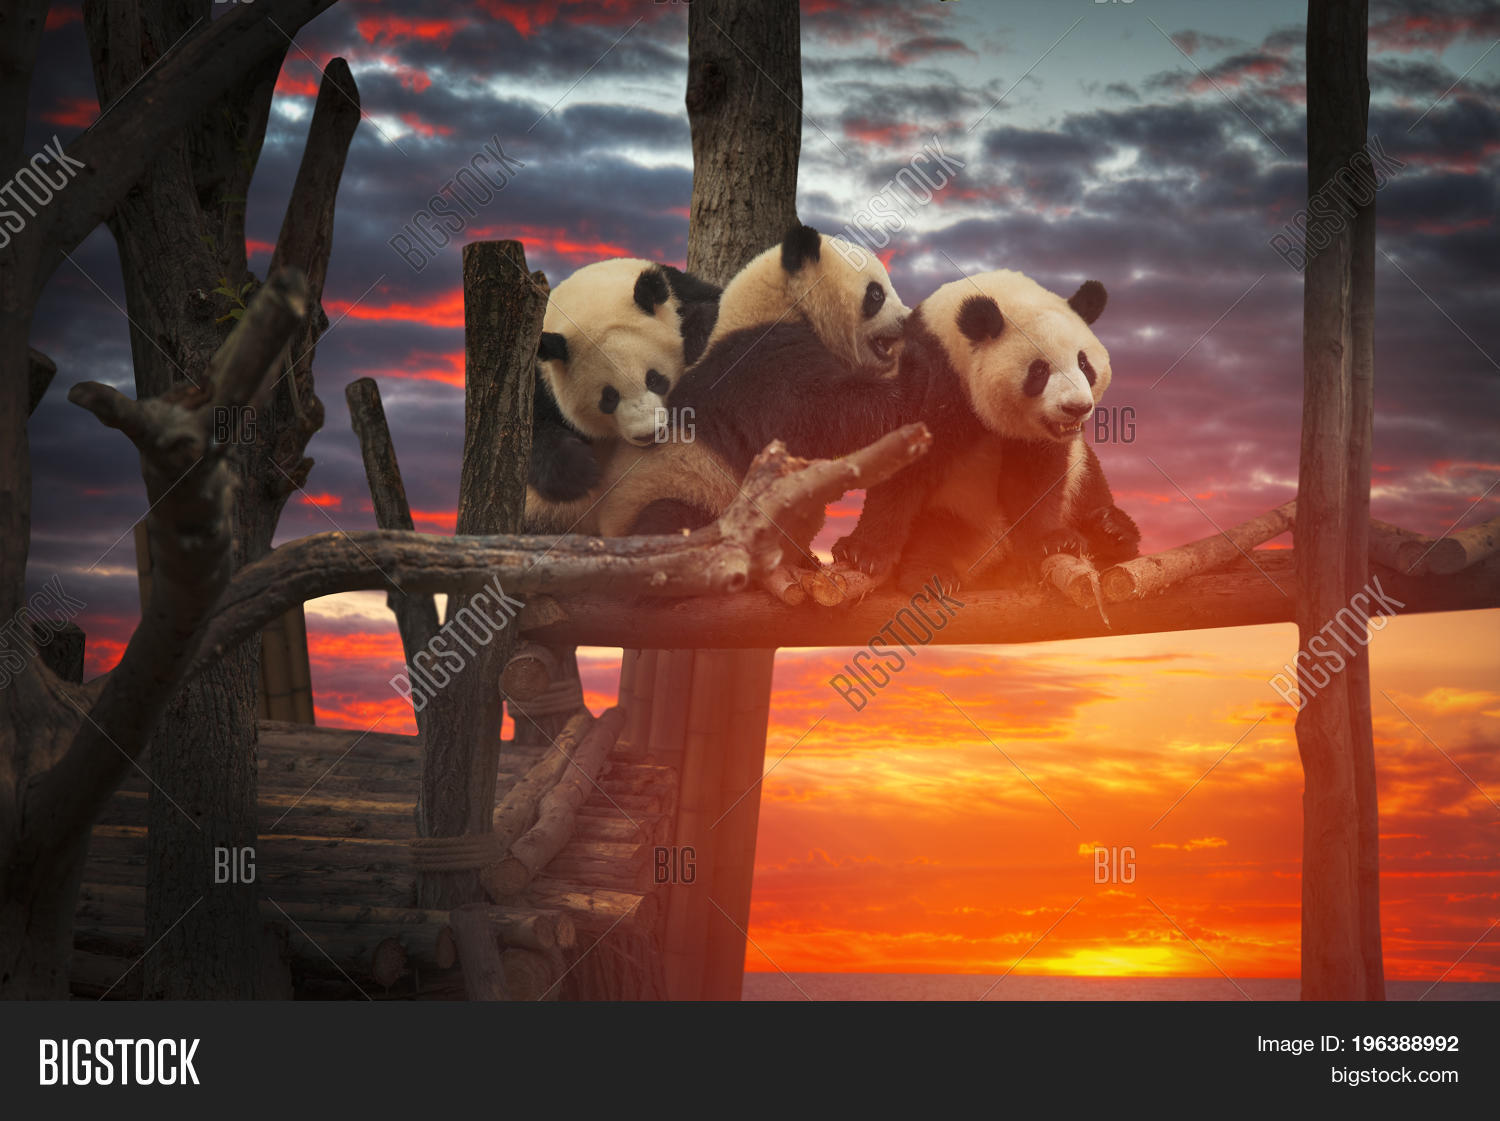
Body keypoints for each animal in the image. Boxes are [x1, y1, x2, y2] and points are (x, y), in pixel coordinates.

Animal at [524, 257, 722, 532]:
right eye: (609, 397)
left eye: (654, 379)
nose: (649, 433)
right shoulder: (541, 377)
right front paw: (577, 471)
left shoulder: (683, 289)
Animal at [585, 223, 912, 538]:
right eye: (876, 294)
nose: (906, 319)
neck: (776, 303)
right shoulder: (762, 362)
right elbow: (826, 414)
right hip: (677, 491)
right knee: (668, 517)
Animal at [831, 269, 1141, 592]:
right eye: (1039, 370)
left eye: (1084, 362)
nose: (1076, 407)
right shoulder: (933, 376)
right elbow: (902, 470)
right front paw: (863, 553)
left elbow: (1037, 477)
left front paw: (1052, 541)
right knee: (936, 532)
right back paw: (930, 574)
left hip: (1078, 480)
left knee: (1089, 483)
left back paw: (1111, 531)